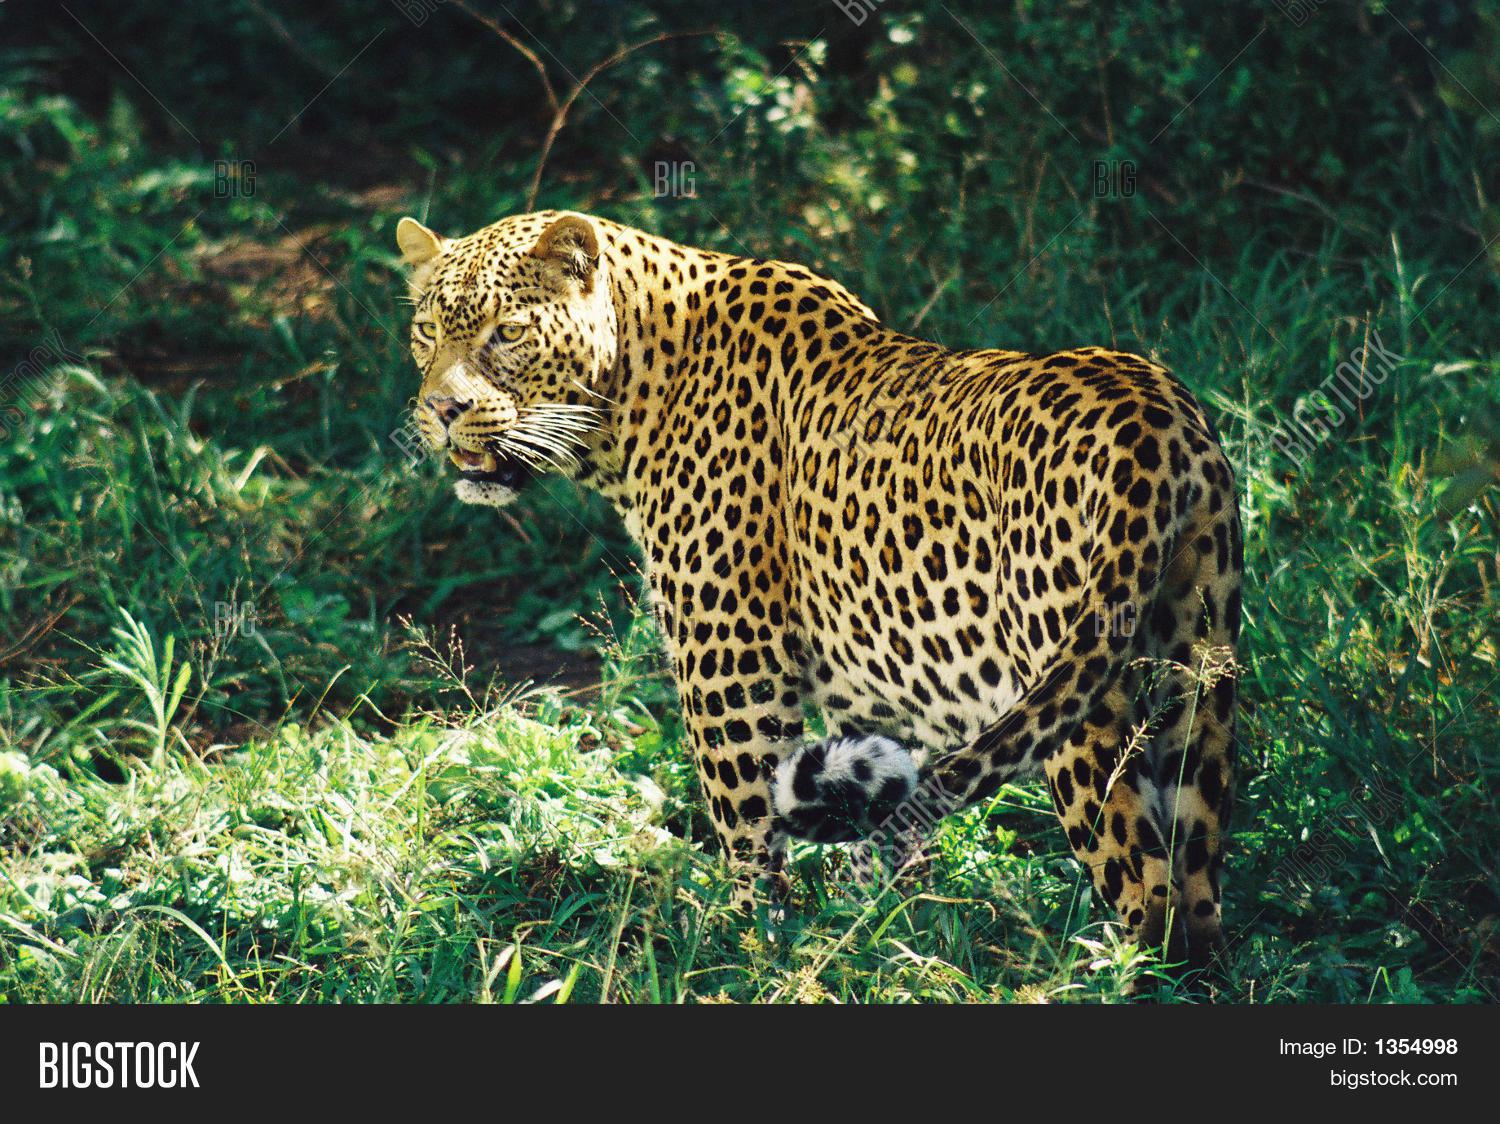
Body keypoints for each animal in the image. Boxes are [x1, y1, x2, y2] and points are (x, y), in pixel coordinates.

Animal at [395, 208, 1242, 967]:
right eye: (427, 332)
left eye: (508, 332)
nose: (442, 409)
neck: (633, 385)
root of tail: (1153, 416)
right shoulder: (869, 694)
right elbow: (877, 834)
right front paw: (875, 938)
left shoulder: (730, 662)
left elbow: (746, 820)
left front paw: (744, 946)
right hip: (1199, 664)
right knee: (1199, 872)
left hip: (1079, 692)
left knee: (1145, 882)